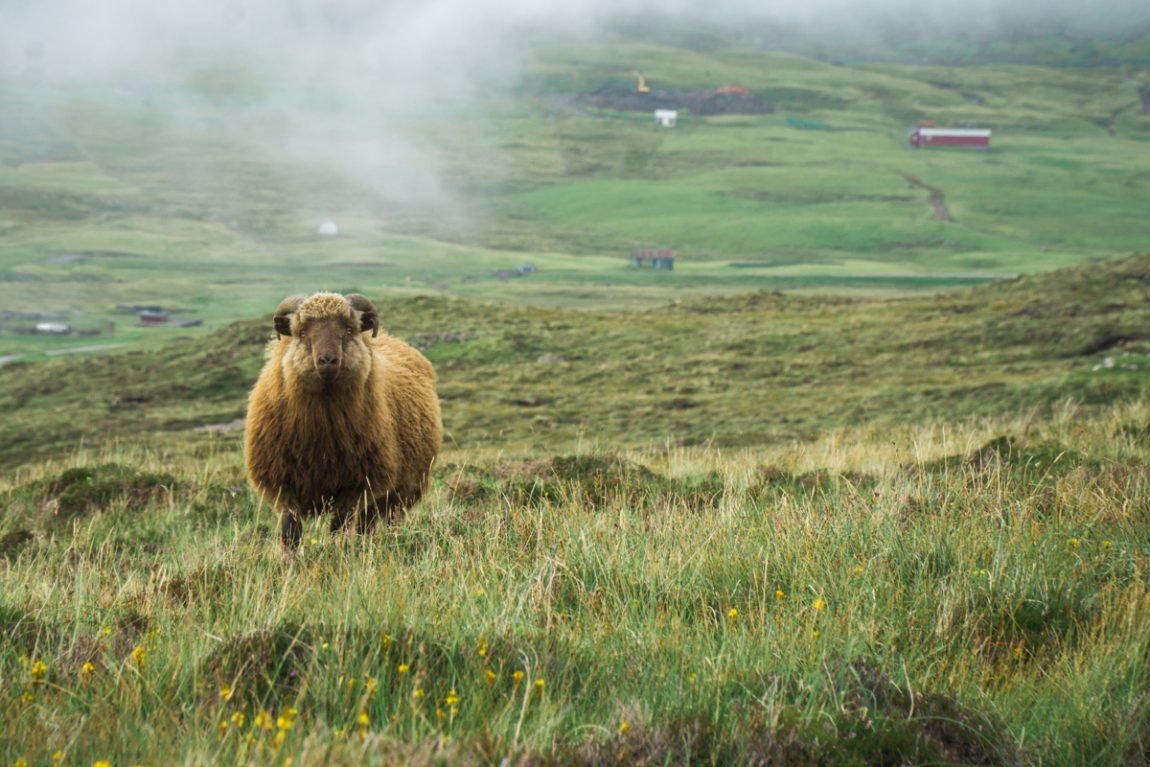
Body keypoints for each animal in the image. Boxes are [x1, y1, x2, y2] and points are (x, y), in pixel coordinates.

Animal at [244, 292, 442, 550]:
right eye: (302, 332)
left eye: (349, 329)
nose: (328, 361)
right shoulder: (283, 486)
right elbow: (291, 533)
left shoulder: (355, 486)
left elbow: (338, 528)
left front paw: (335, 554)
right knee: (367, 524)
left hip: (400, 491)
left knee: (382, 522)